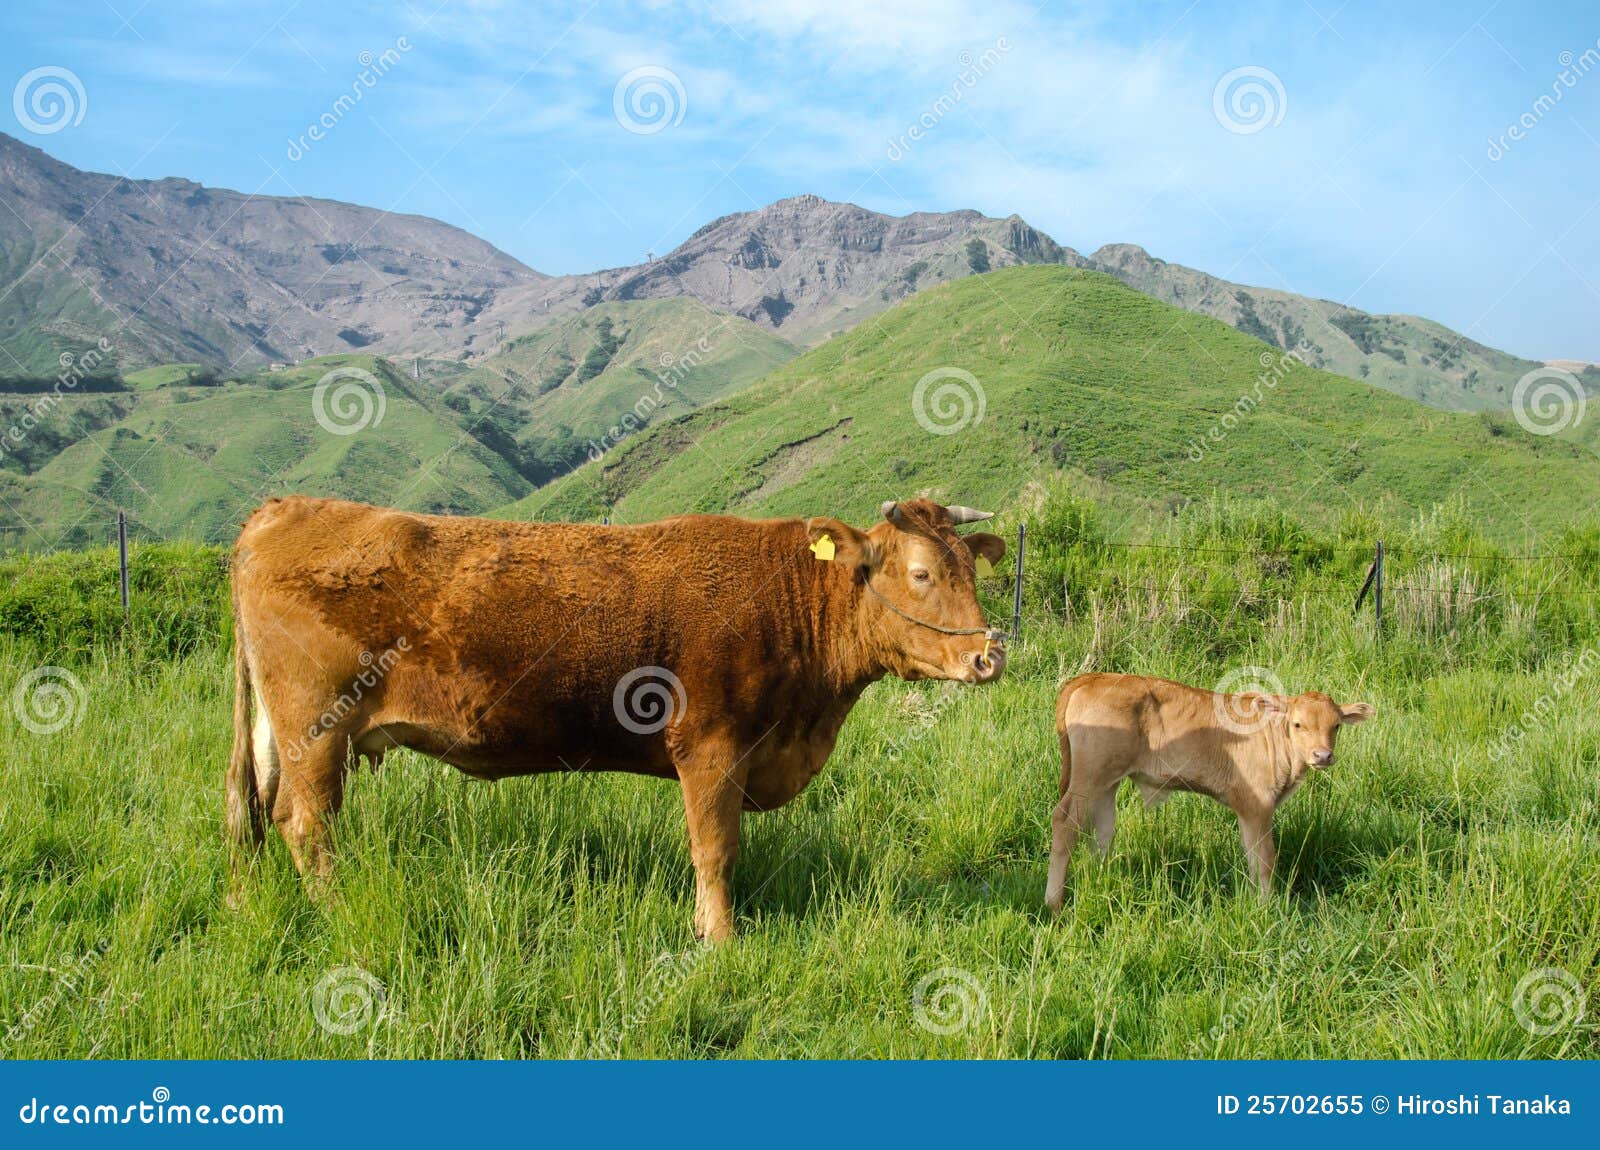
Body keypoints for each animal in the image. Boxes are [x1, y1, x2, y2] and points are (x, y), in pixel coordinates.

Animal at [227, 496, 1007, 940]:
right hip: (317, 725)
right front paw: (719, 941)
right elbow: (716, 850)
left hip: (277, 729)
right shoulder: (712, 748)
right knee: (306, 824)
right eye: (921, 574)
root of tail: (284, 506)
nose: (988, 656)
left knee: (255, 809)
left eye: (972, 568)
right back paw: (333, 912)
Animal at [1043, 673, 1374, 912]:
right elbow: (1265, 857)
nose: (1323, 755)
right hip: (1088, 779)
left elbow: (1252, 856)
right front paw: (1268, 907)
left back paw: (1103, 882)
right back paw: (1053, 903)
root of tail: (1092, 678)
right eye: (1298, 724)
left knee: (1102, 830)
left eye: (1336, 726)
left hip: (1107, 782)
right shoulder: (1258, 805)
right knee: (1065, 823)